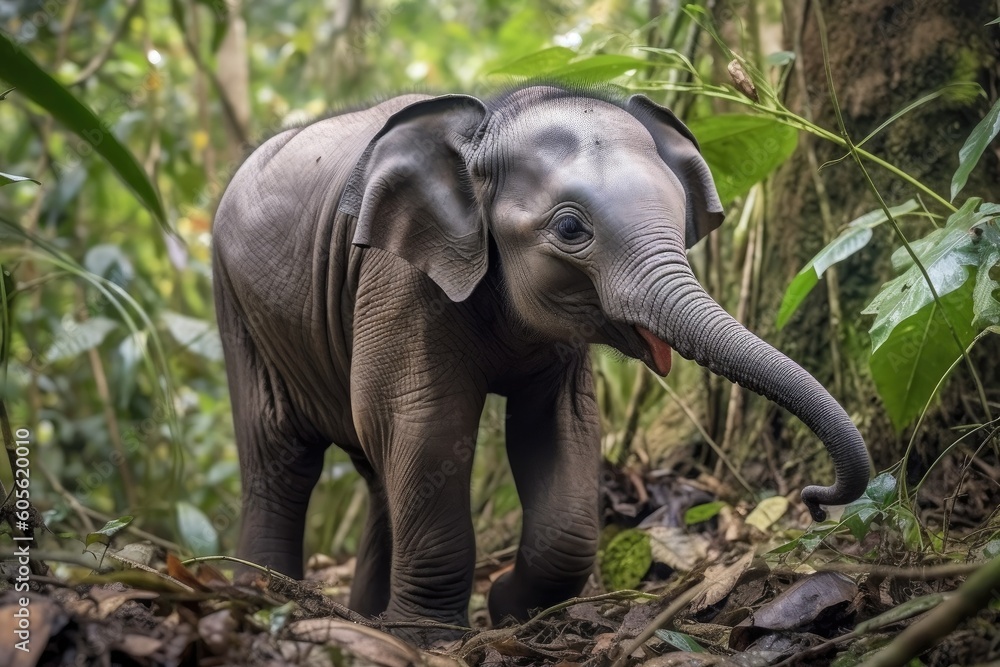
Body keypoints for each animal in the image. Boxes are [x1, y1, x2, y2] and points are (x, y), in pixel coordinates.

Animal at [211, 84, 870, 636]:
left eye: (680, 219)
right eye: (572, 228)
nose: (813, 502)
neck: (489, 123)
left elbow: (559, 429)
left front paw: (507, 609)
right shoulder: (399, 279)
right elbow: (424, 423)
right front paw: (431, 637)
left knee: (375, 468)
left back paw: (364, 618)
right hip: (238, 311)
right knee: (281, 455)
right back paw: (263, 602)